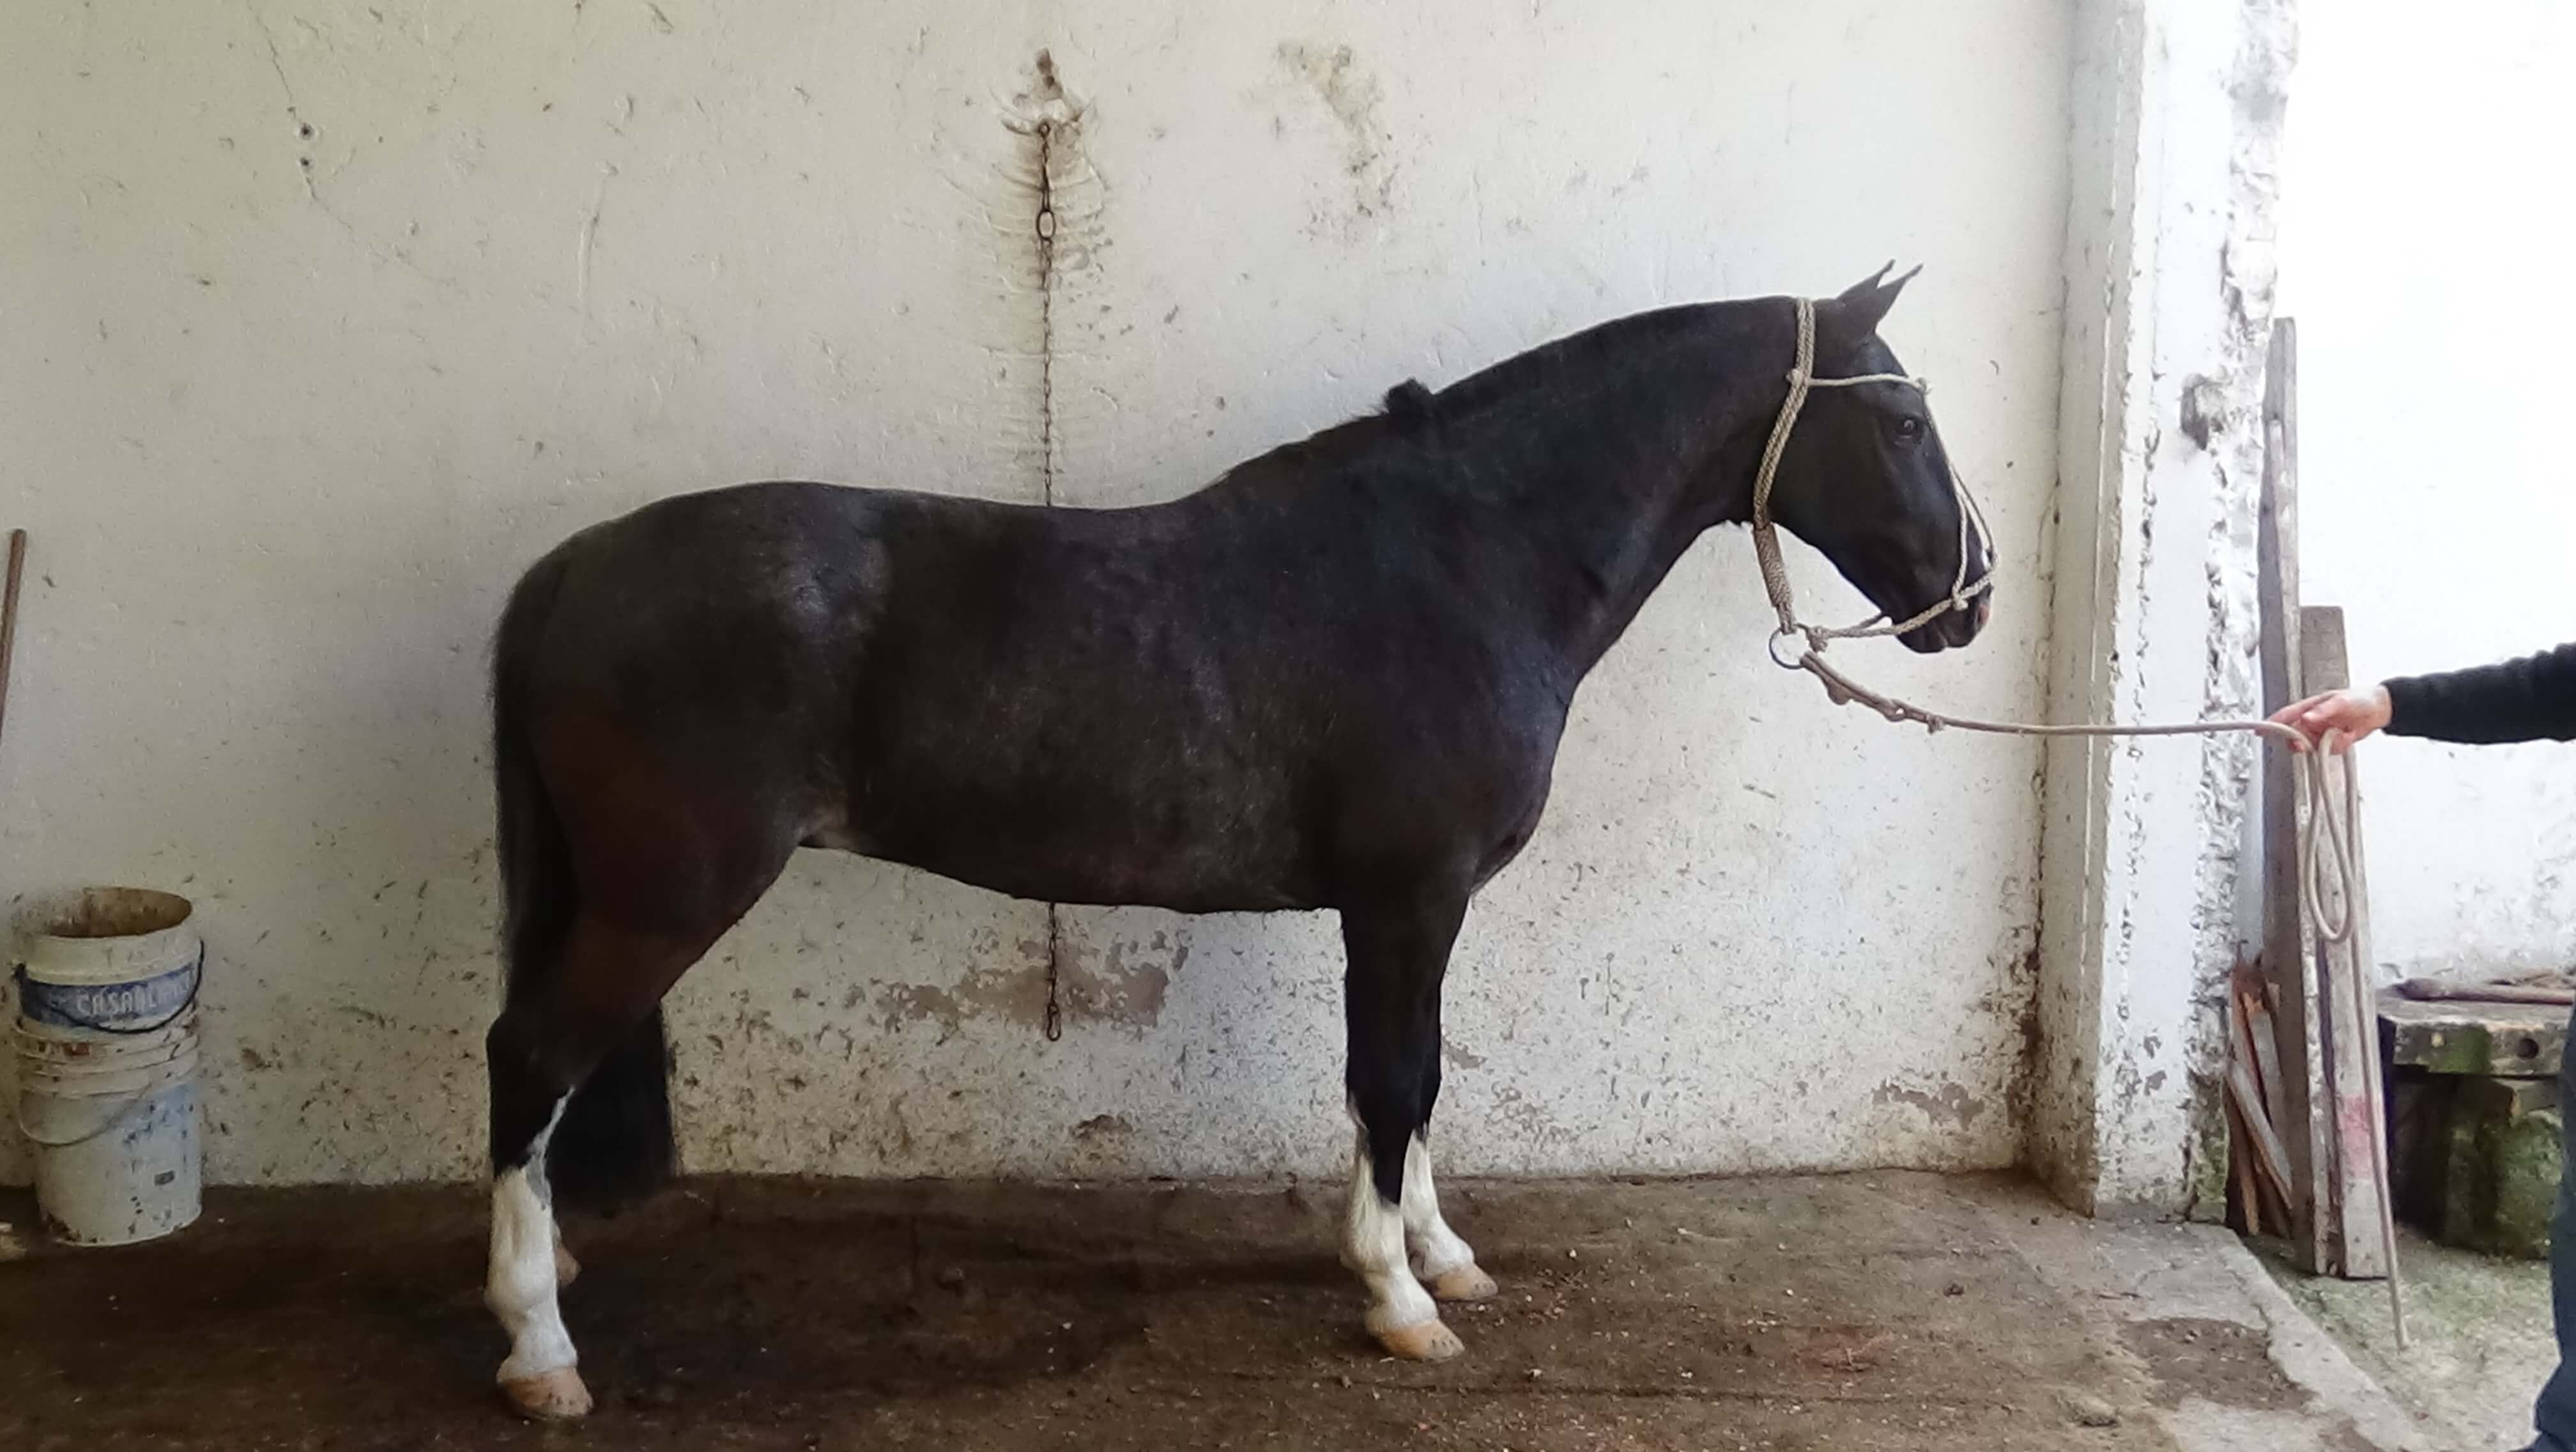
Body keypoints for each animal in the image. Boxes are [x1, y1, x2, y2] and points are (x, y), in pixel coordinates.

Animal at [477, 266, 1991, 1419]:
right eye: (1904, 419)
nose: (1968, 597)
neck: (1466, 563)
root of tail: (578, 563)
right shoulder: (1406, 897)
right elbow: (1393, 1078)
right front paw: (1397, 1297)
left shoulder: (1418, 909)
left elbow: (1418, 1081)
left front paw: (1441, 1255)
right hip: (663, 900)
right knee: (528, 1059)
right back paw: (539, 1345)